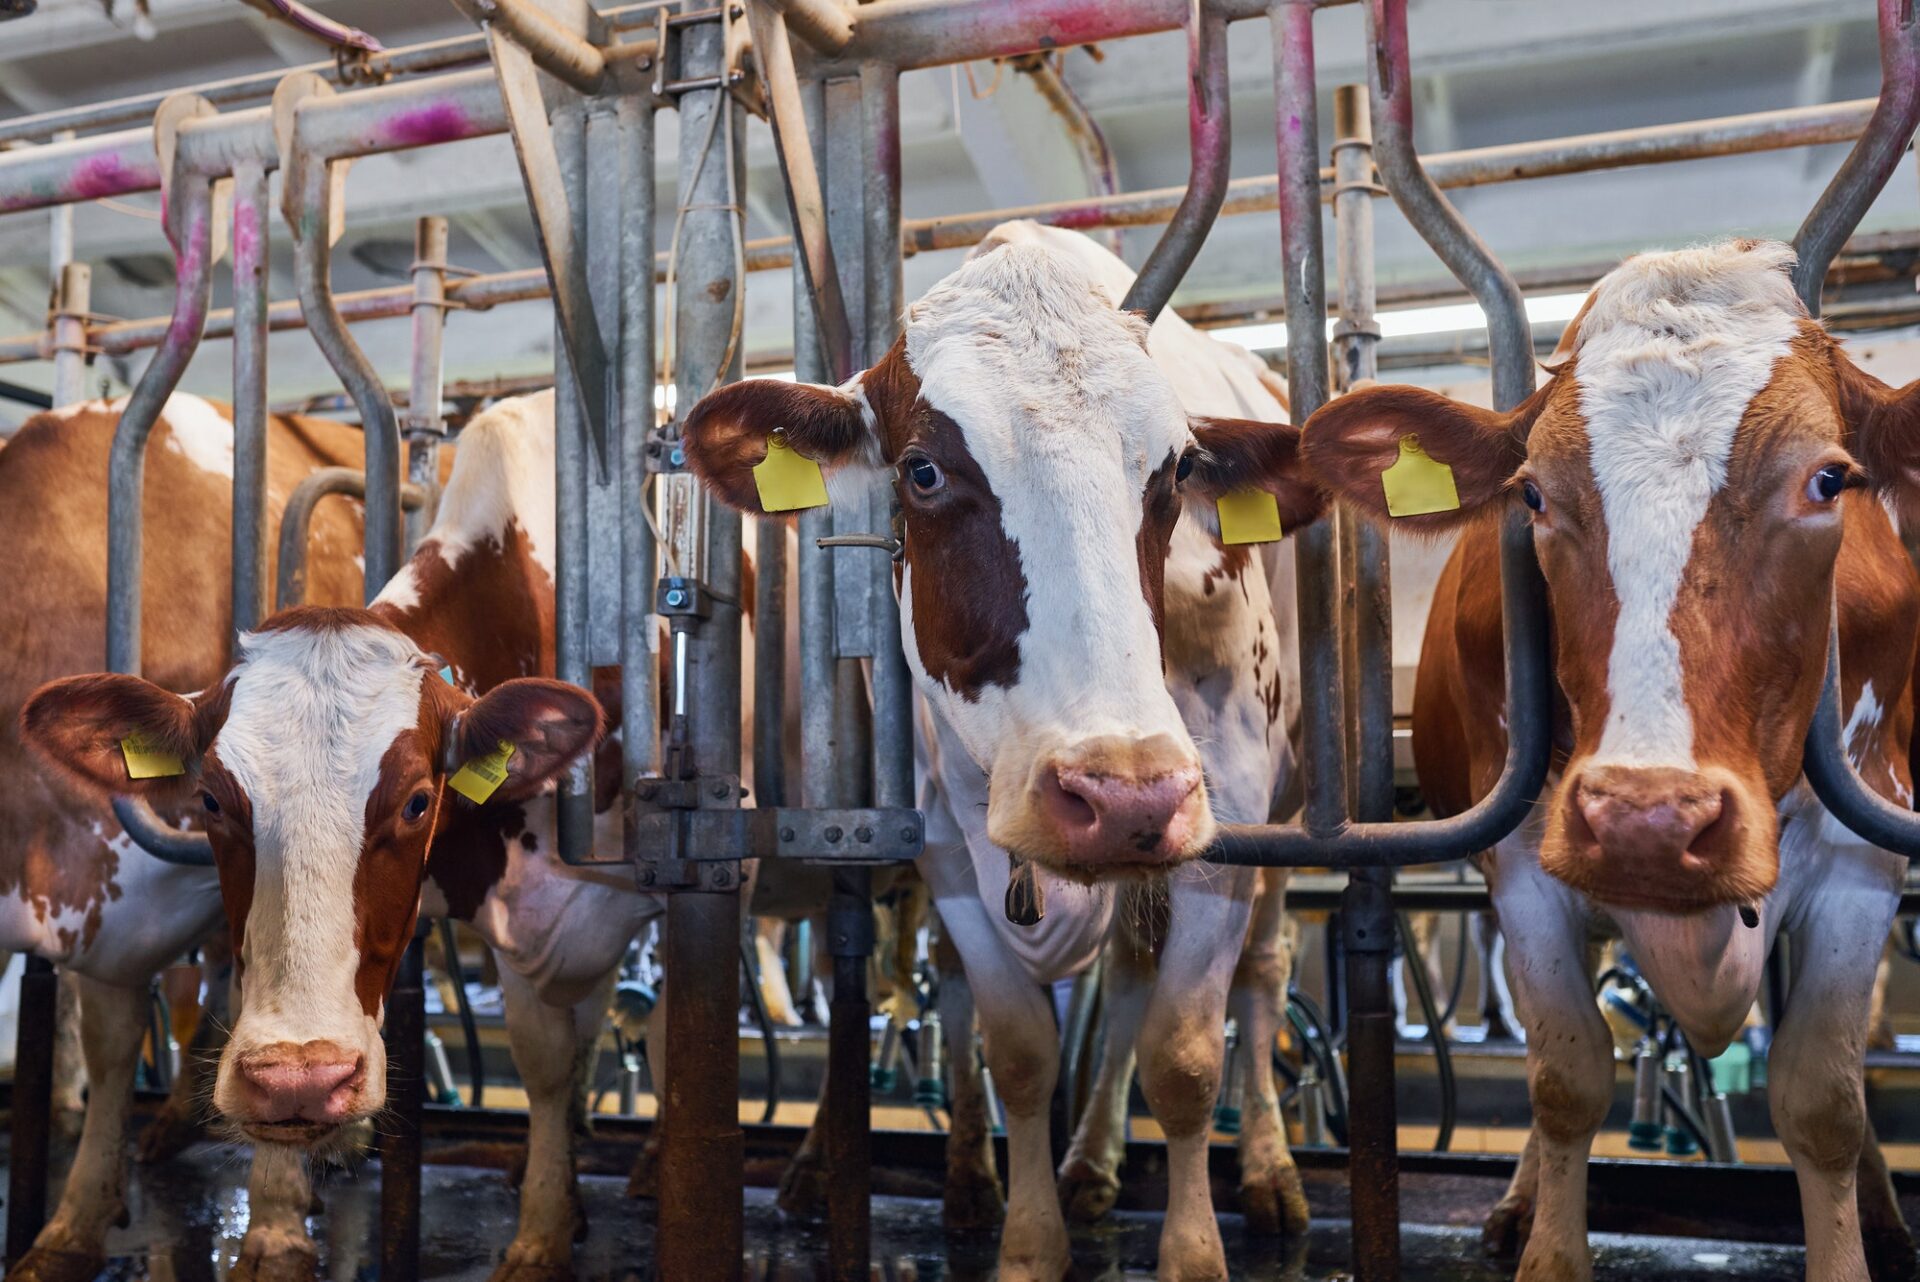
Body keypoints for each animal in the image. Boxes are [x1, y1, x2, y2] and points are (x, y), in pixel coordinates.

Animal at [682, 220, 1322, 1281]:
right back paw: (1088, 1166)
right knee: (1123, 982)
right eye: (922, 471)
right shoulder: (943, 839)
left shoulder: (1222, 805)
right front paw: (1027, 1242)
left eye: (1176, 472)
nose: (1121, 793)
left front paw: (1192, 1254)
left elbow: (1186, 1057)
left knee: (1263, 979)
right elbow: (1019, 1048)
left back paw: (1267, 1171)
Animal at [1301, 239, 1920, 1282]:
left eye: (1829, 480)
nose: (1647, 820)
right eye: (1533, 493)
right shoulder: (1522, 860)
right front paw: (1547, 1243)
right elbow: (1566, 1077)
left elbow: (1823, 1099)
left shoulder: (1864, 855)